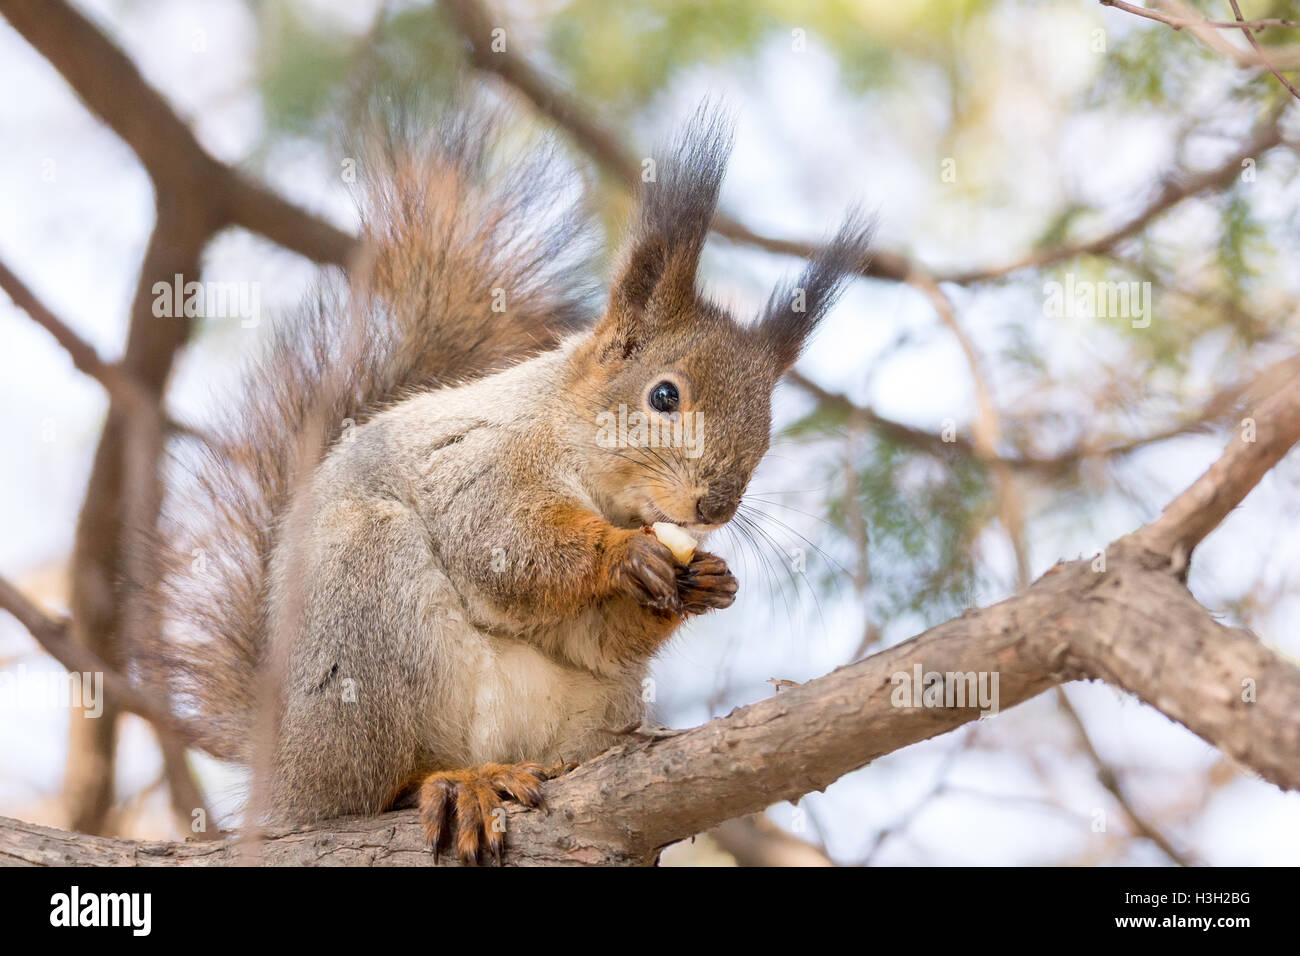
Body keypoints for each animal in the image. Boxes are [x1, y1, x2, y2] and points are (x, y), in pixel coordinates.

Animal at [146, 94, 872, 864]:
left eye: (766, 429)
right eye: (664, 395)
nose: (716, 505)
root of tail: (281, 774)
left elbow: (592, 638)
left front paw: (706, 580)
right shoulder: (482, 465)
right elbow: (507, 545)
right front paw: (621, 554)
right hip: (362, 619)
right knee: (375, 788)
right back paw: (451, 784)